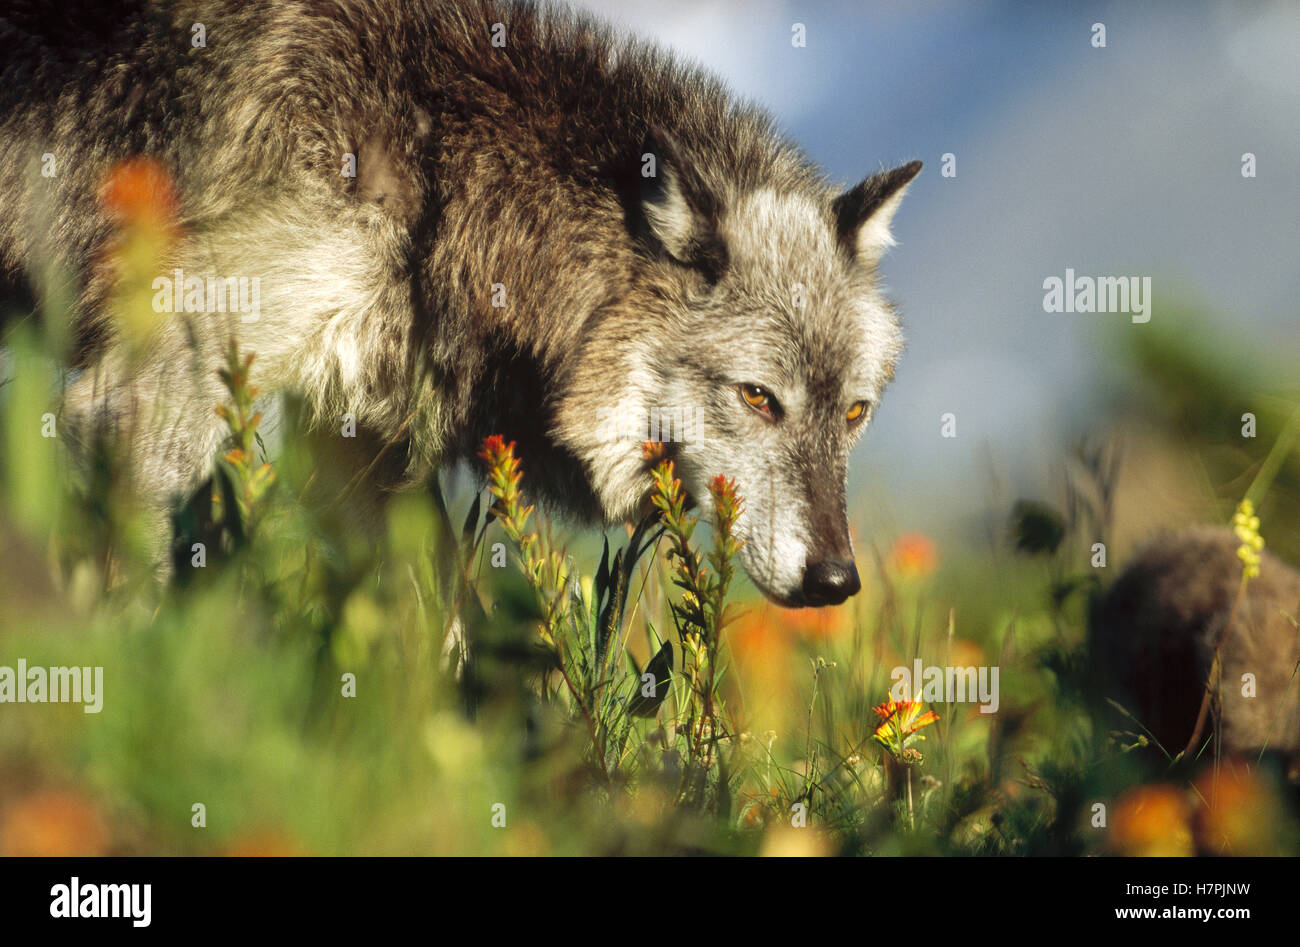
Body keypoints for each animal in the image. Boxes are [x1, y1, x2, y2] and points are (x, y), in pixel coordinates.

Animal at [0, 0, 921, 607]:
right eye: (759, 397)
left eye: (855, 413)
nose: (837, 580)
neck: (438, 166)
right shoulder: (135, 403)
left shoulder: (355, 448)